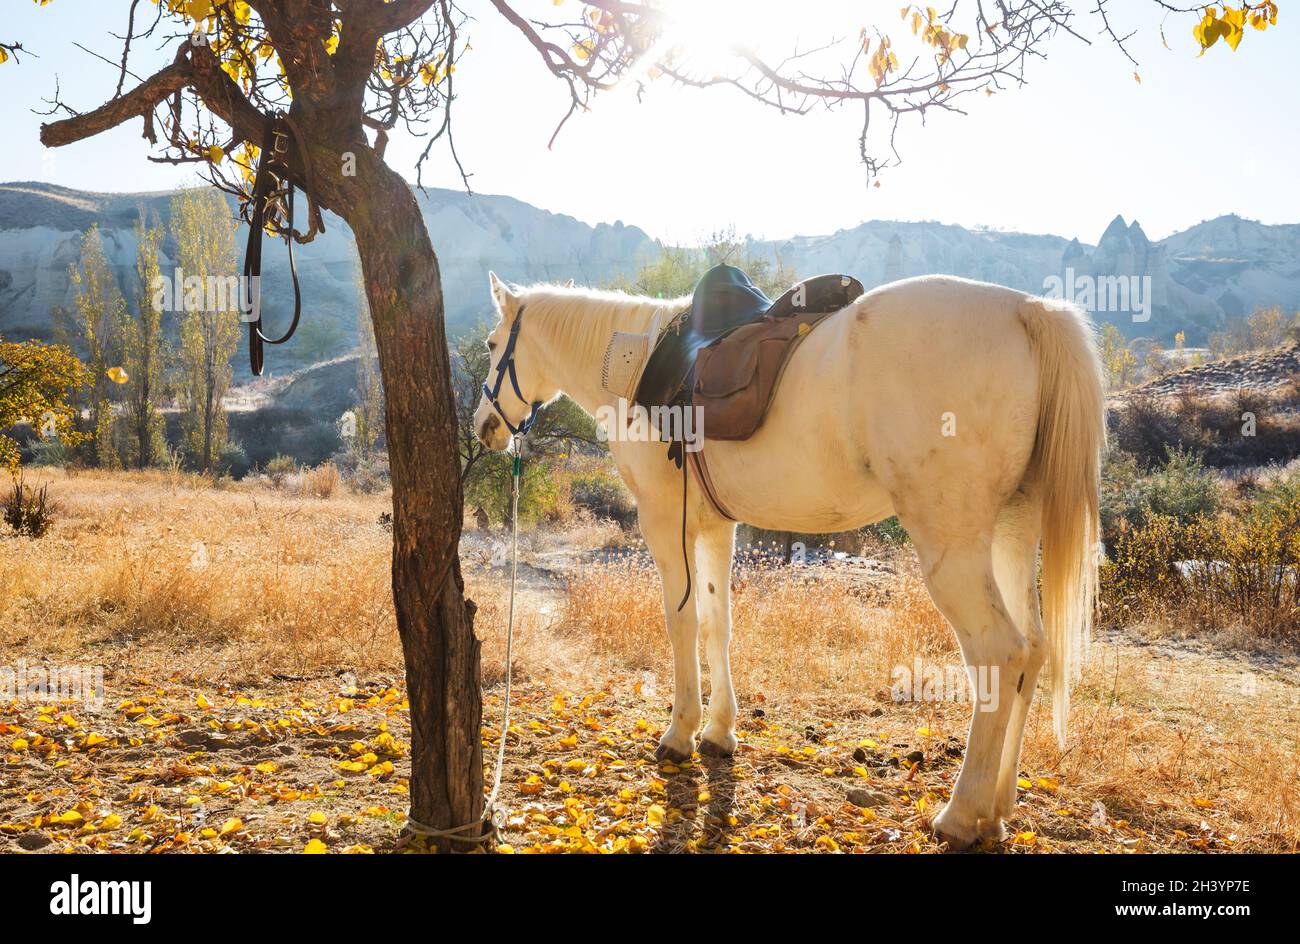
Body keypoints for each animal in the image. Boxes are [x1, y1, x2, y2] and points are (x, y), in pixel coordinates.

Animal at [473, 270, 1104, 848]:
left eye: (492, 343)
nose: (483, 428)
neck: (633, 363)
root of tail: (1026, 309)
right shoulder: (715, 529)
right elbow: (717, 624)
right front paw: (719, 733)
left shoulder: (664, 523)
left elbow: (682, 624)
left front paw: (680, 733)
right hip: (1011, 535)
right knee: (1032, 653)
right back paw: (997, 810)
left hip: (955, 548)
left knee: (999, 655)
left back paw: (961, 814)